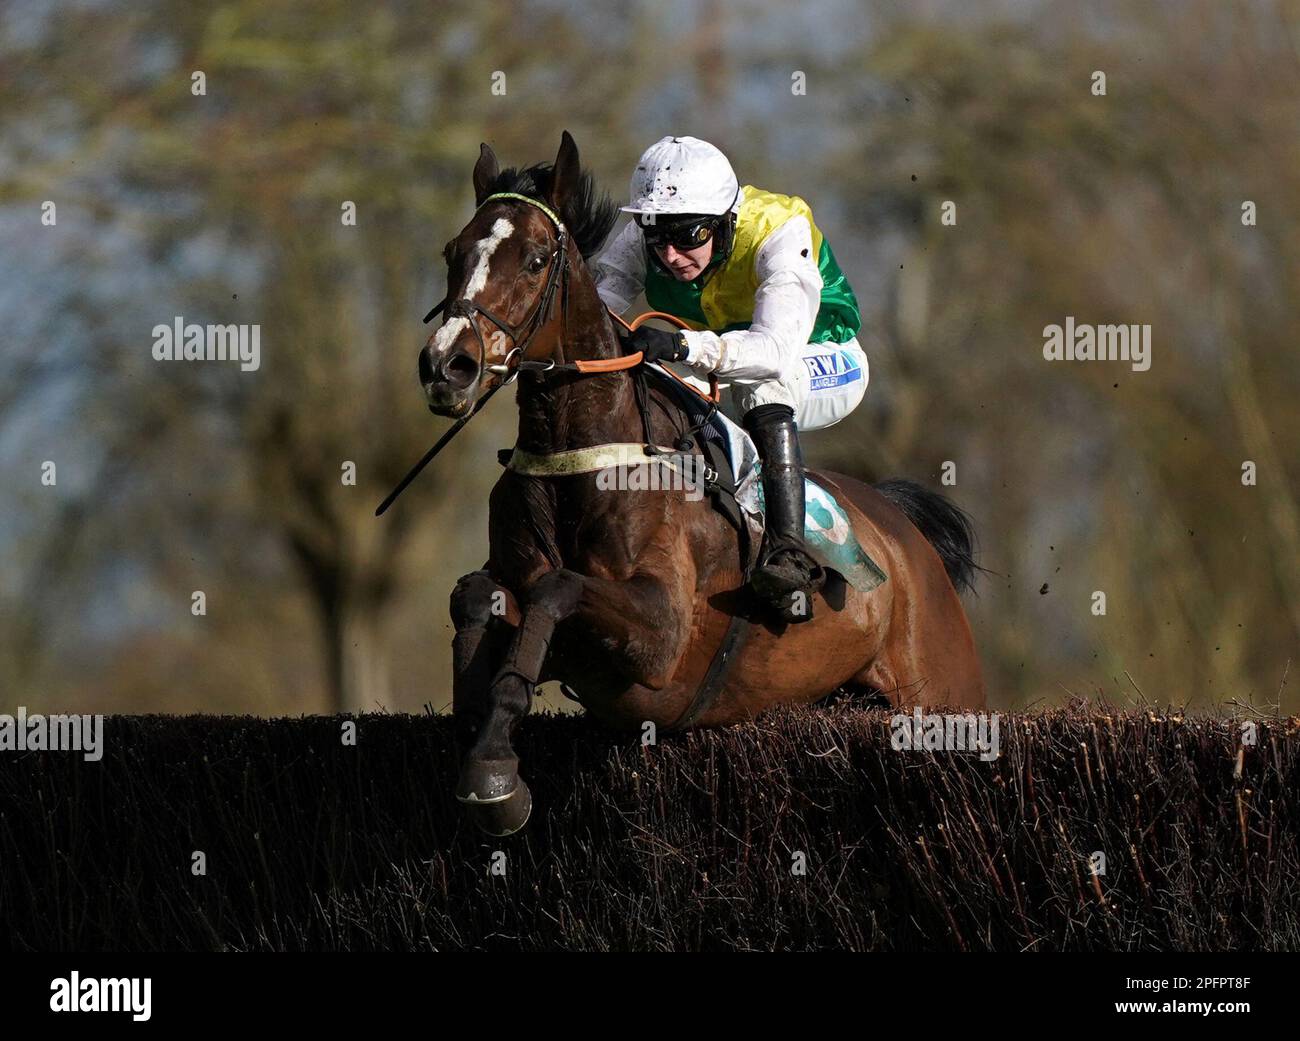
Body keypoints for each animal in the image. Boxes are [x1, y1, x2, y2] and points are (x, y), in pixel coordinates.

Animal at [417, 131, 984, 835]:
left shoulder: (661, 636)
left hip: (942, 692)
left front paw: (493, 772)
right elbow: (476, 597)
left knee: (772, 386)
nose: (447, 366)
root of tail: (907, 535)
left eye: (536, 259)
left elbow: (557, 587)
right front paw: (480, 742)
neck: (577, 457)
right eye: (453, 252)